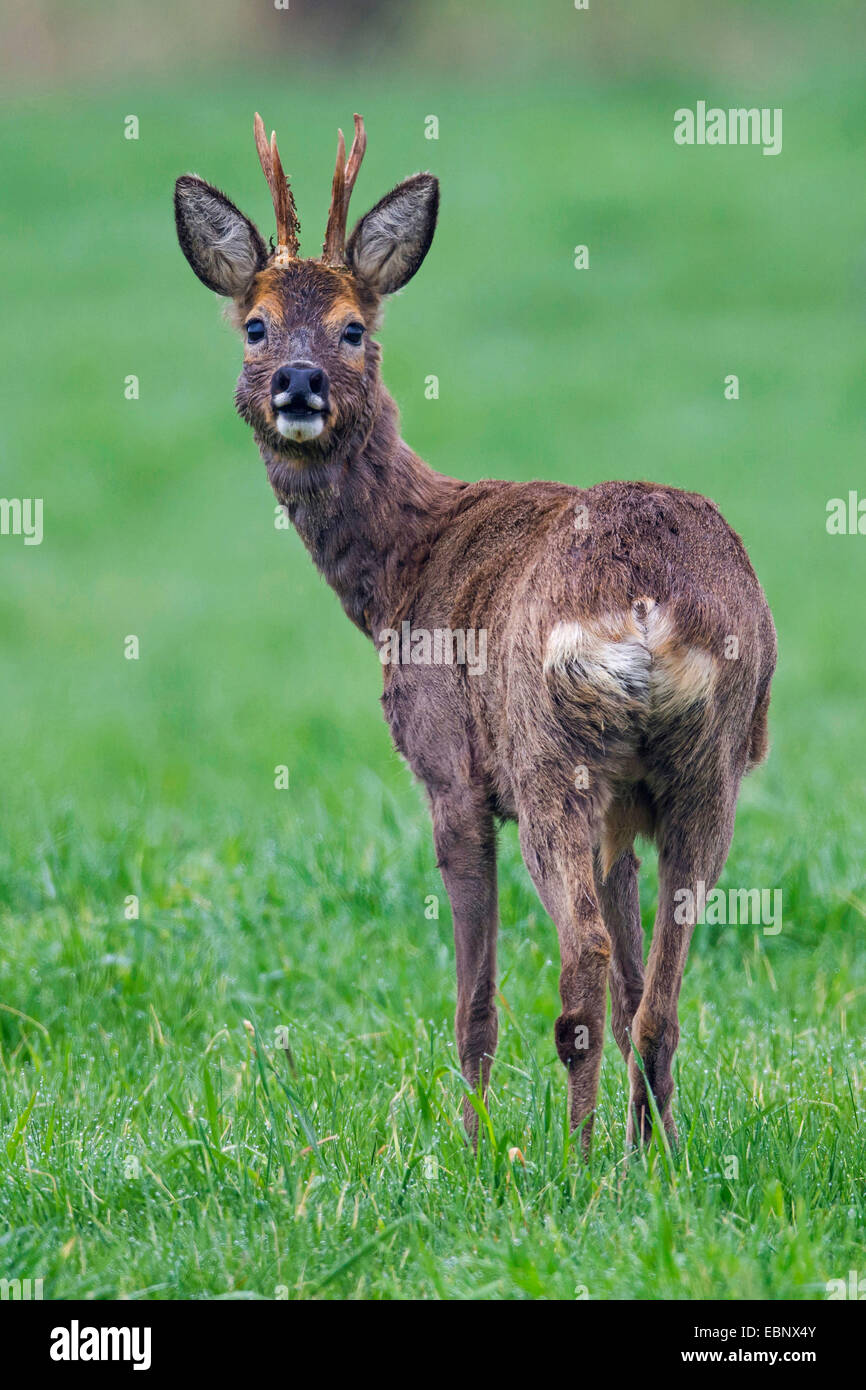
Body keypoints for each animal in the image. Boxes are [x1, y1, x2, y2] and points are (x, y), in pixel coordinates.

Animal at [174, 114, 777, 1154]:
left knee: (582, 964)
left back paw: (573, 1162)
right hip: (708, 769)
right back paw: (647, 1158)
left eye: (355, 328)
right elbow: (634, 984)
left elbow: (475, 1001)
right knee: (658, 994)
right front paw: (647, 1151)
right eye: (255, 325)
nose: (298, 380)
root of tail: (648, 602)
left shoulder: (448, 771)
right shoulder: (626, 815)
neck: (401, 570)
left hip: (547, 759)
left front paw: (468, 1143)